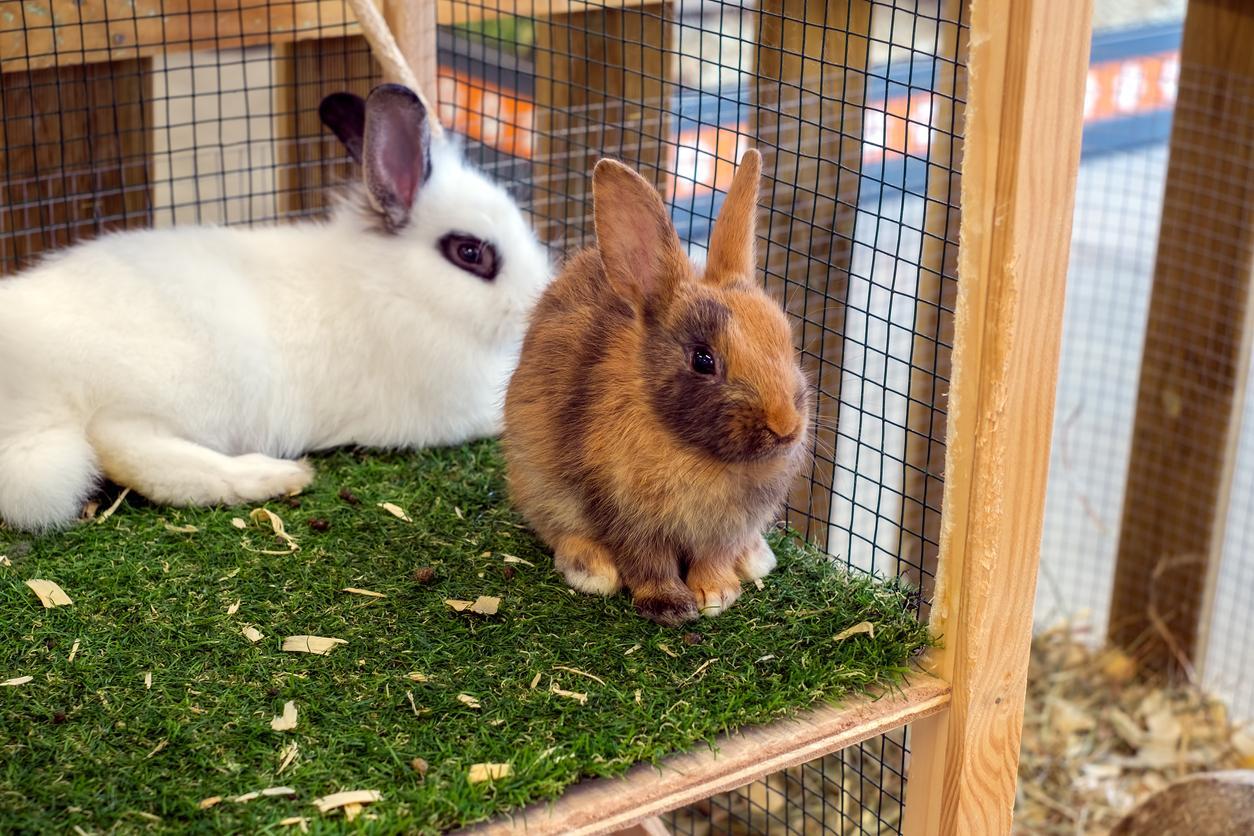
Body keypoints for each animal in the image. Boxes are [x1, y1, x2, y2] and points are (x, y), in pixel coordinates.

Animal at [502, 149, 811, 626]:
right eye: (703, 360)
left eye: (786, 341)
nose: (786, 427)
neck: (693, 448)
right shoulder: (627, 516)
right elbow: (648, 562)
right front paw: (670, 606)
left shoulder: (724, 530)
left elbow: (713, 558)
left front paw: (717, 594)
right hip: (537, 483)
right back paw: (591, 569)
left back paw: (756, 558)